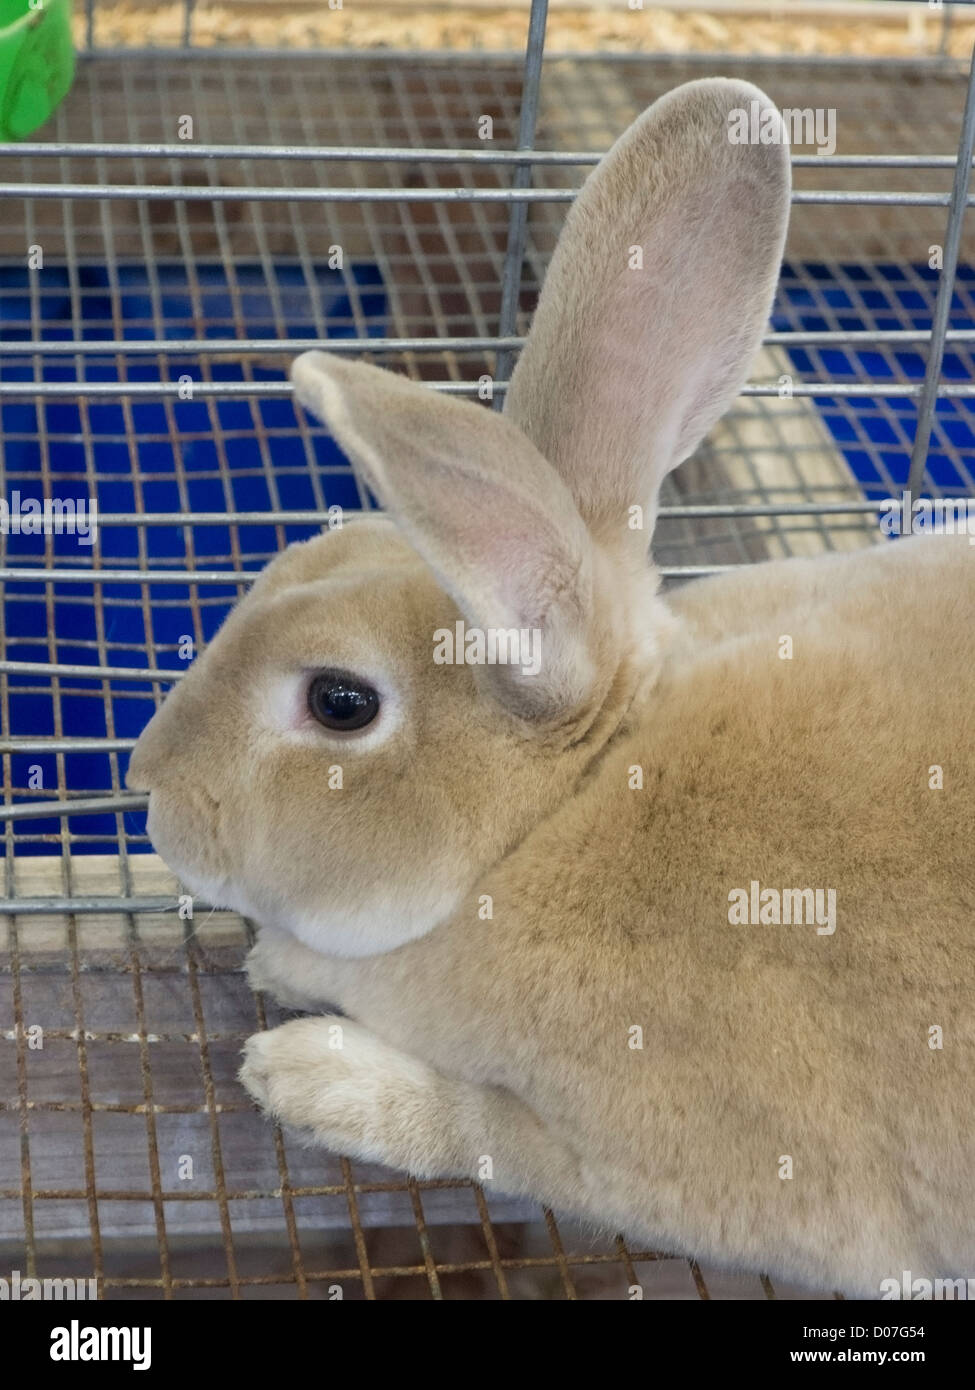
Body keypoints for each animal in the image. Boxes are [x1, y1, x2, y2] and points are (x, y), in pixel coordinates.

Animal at [126, 77, 975, 1298]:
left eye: (339, 703)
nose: (145, 781)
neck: (557, 817)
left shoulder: (677, 1157)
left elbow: (478, 1132)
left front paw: (307, 1063)